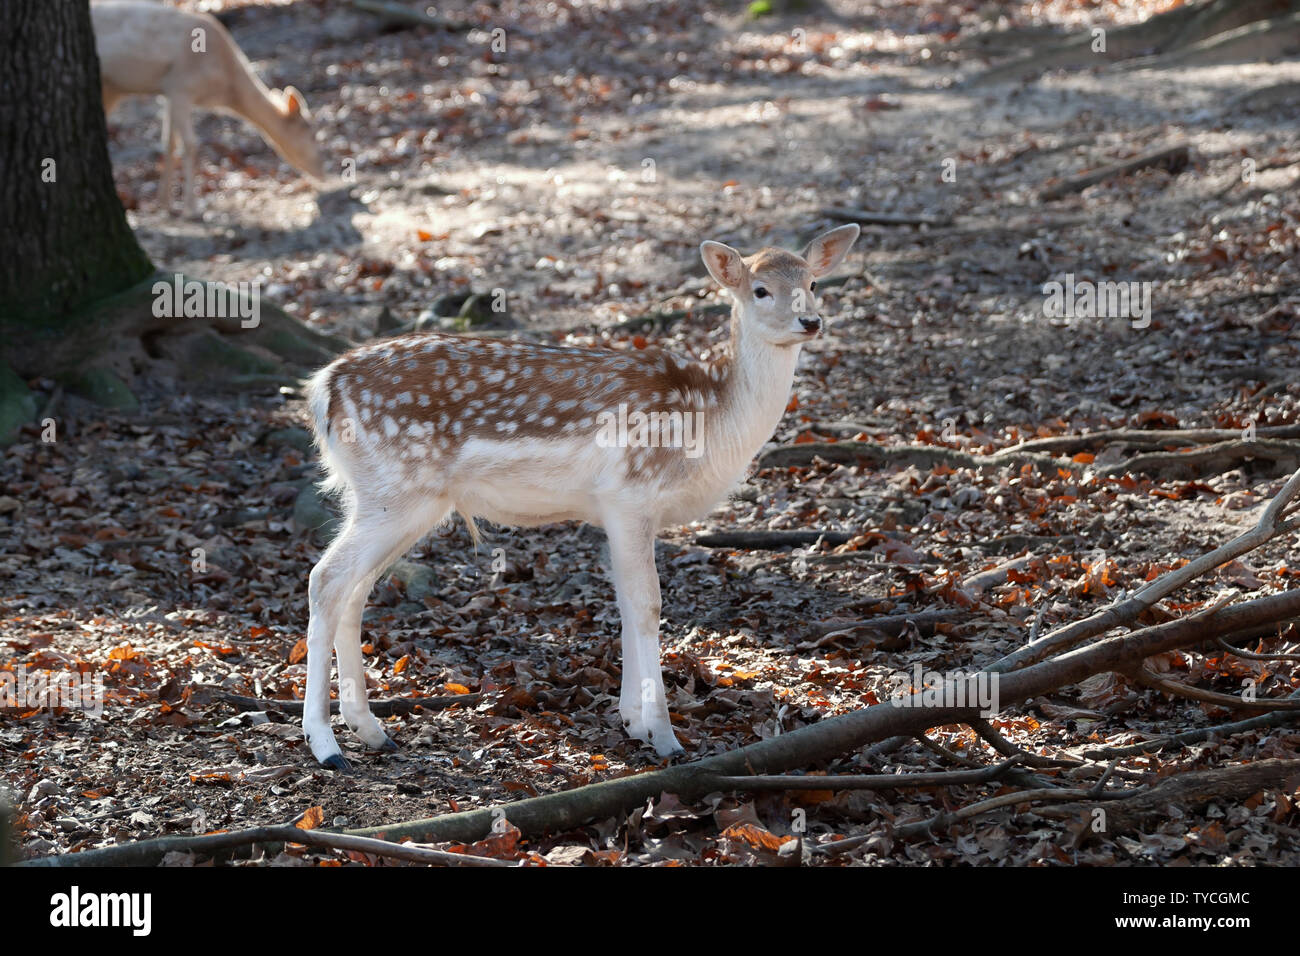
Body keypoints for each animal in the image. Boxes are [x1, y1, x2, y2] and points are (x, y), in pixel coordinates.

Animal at [91, 0, 325, 217]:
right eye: (312, 133)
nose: (322, 172)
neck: (225, 89)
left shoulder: (168, 92)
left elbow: (169, 142)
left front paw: (165, 203)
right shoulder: (181, 87)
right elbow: (190, 144)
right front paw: (191, 209)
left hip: (112, 89)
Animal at [300, 224, 861, 769]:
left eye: (813, 282)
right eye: (760, 289)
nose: (811, 321)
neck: (711, 422)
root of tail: (324, 388)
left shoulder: (618, 511)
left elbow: (625, 601)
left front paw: (633, 722)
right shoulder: (631, 493)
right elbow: (648, 603)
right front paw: (665, 738)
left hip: (386, 498)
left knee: (354, 590)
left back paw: (372, 731)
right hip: (399, 491)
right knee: (325, 578)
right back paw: (326, 746)